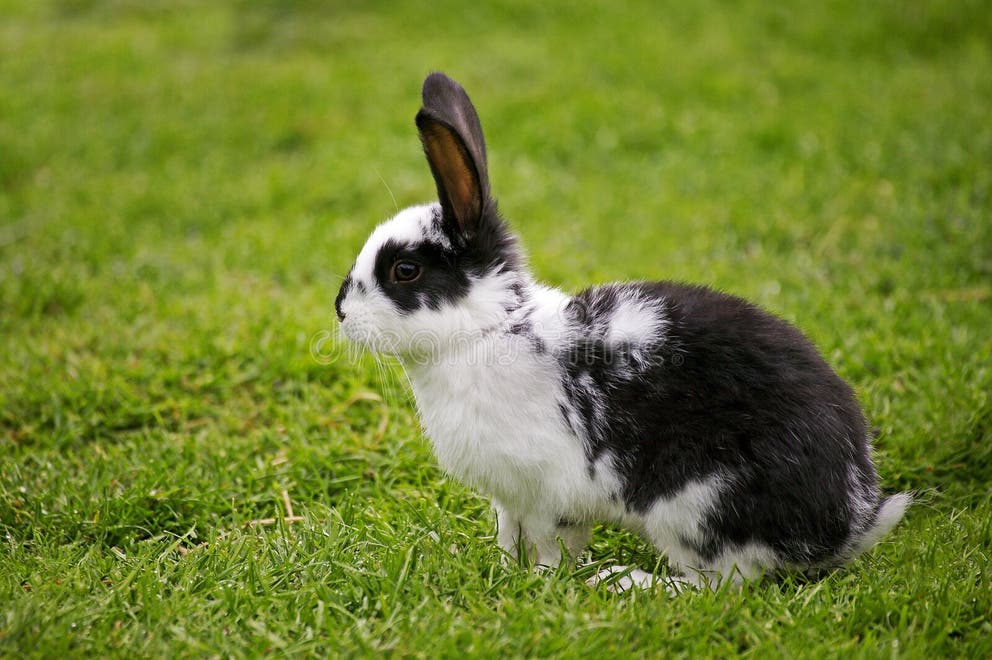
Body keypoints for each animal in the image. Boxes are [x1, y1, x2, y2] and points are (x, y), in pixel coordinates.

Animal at [334, 72, 910, 591]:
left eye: (405, 270)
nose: (340, 311)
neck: (491, 329)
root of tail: (846, 524)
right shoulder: (510, 497)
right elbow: (508, 536)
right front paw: (503, 572)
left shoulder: (549, 495)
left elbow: (550, 546)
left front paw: (542, 583)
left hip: (695, 509)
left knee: (720, 583)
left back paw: (623, 582)